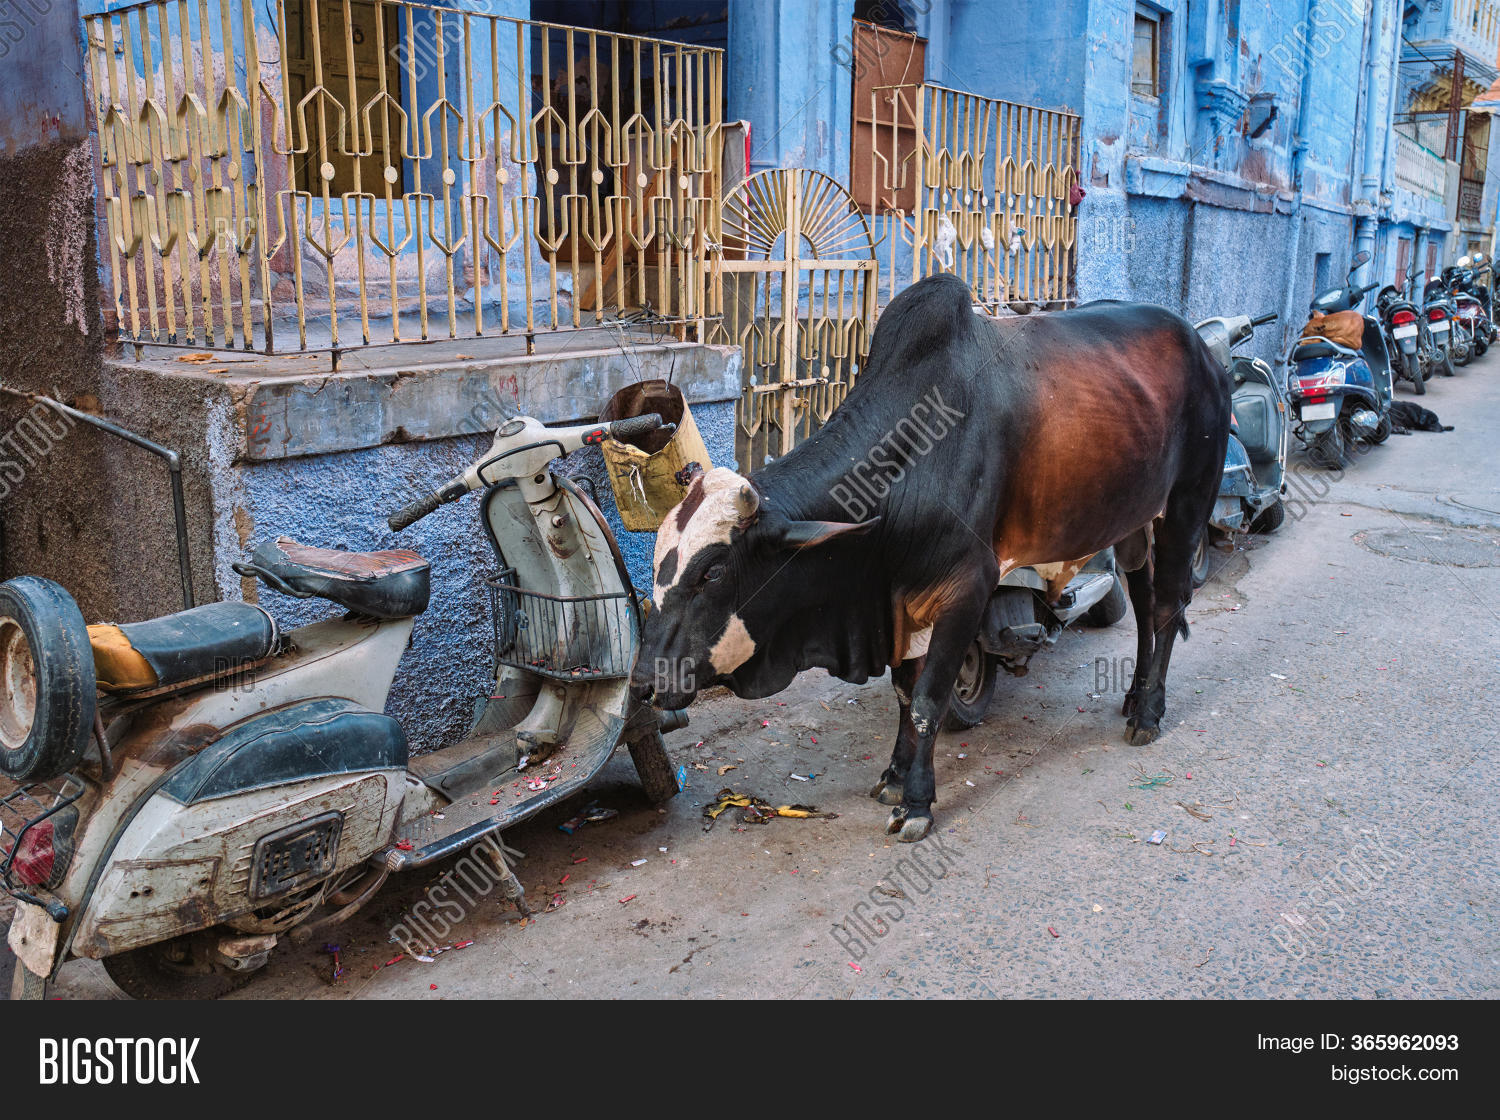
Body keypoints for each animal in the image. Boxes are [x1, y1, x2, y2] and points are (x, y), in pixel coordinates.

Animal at [631, 272, 1231, 842]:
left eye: (712, 572)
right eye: (659, 568)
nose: (642, 685)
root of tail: (1203, 349)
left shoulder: (967, 586)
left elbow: (927, 699)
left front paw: (917, 803)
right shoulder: (900, 599)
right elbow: (904, 691)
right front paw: (895, 778)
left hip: (1186, 504)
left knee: (1166, 608)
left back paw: (1148, 714)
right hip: (1134, 521)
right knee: (1146, 603)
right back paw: (1133, 697)